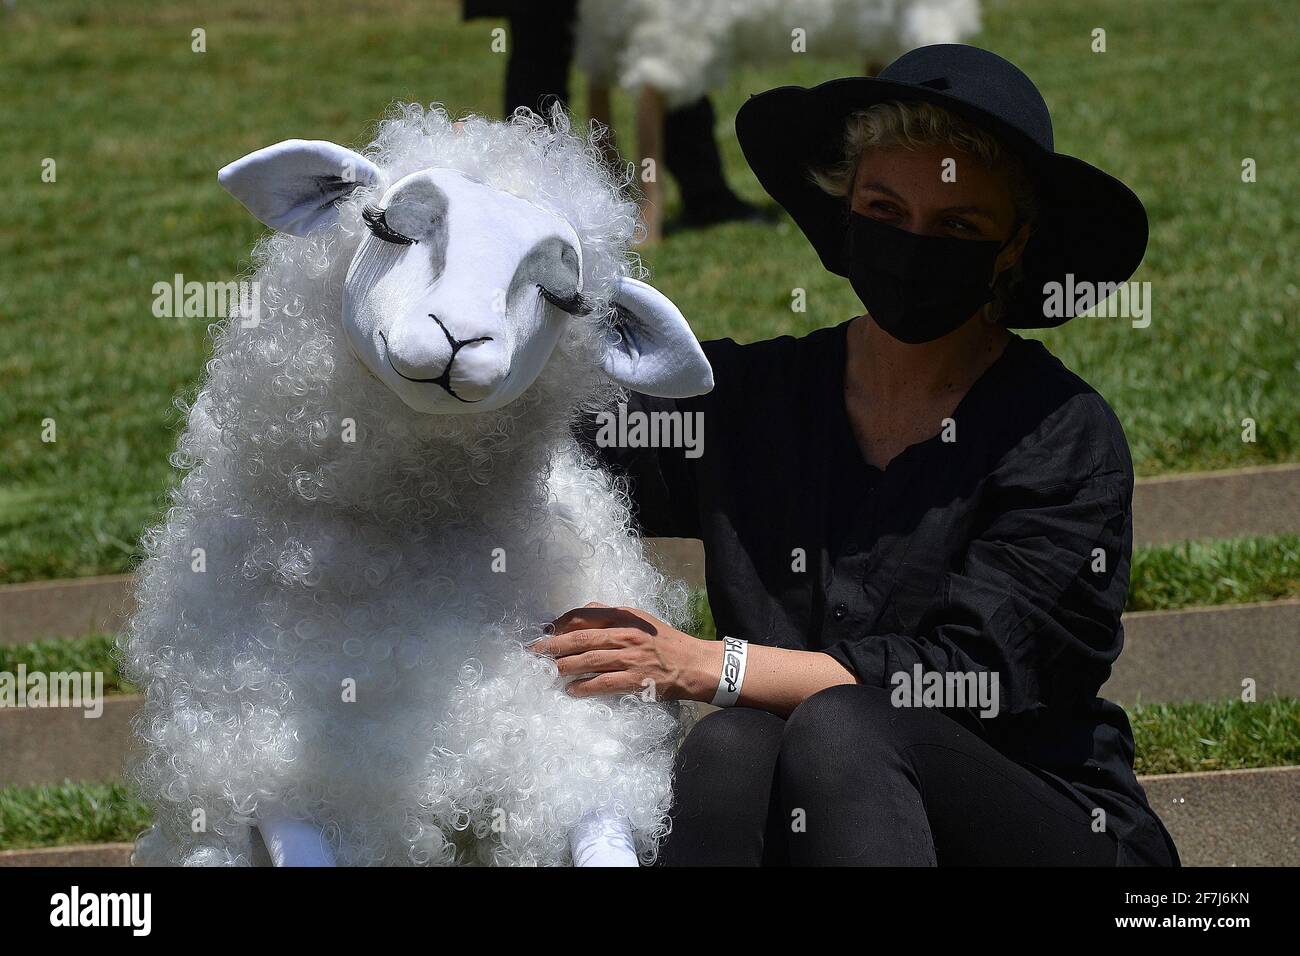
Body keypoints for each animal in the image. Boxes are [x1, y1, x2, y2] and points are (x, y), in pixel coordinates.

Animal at [121, 103, 714, 867]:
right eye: (389, 227)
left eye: (565, 298)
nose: (460, 338)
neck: (403, 540)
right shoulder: (260, 756)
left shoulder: (573, 731)